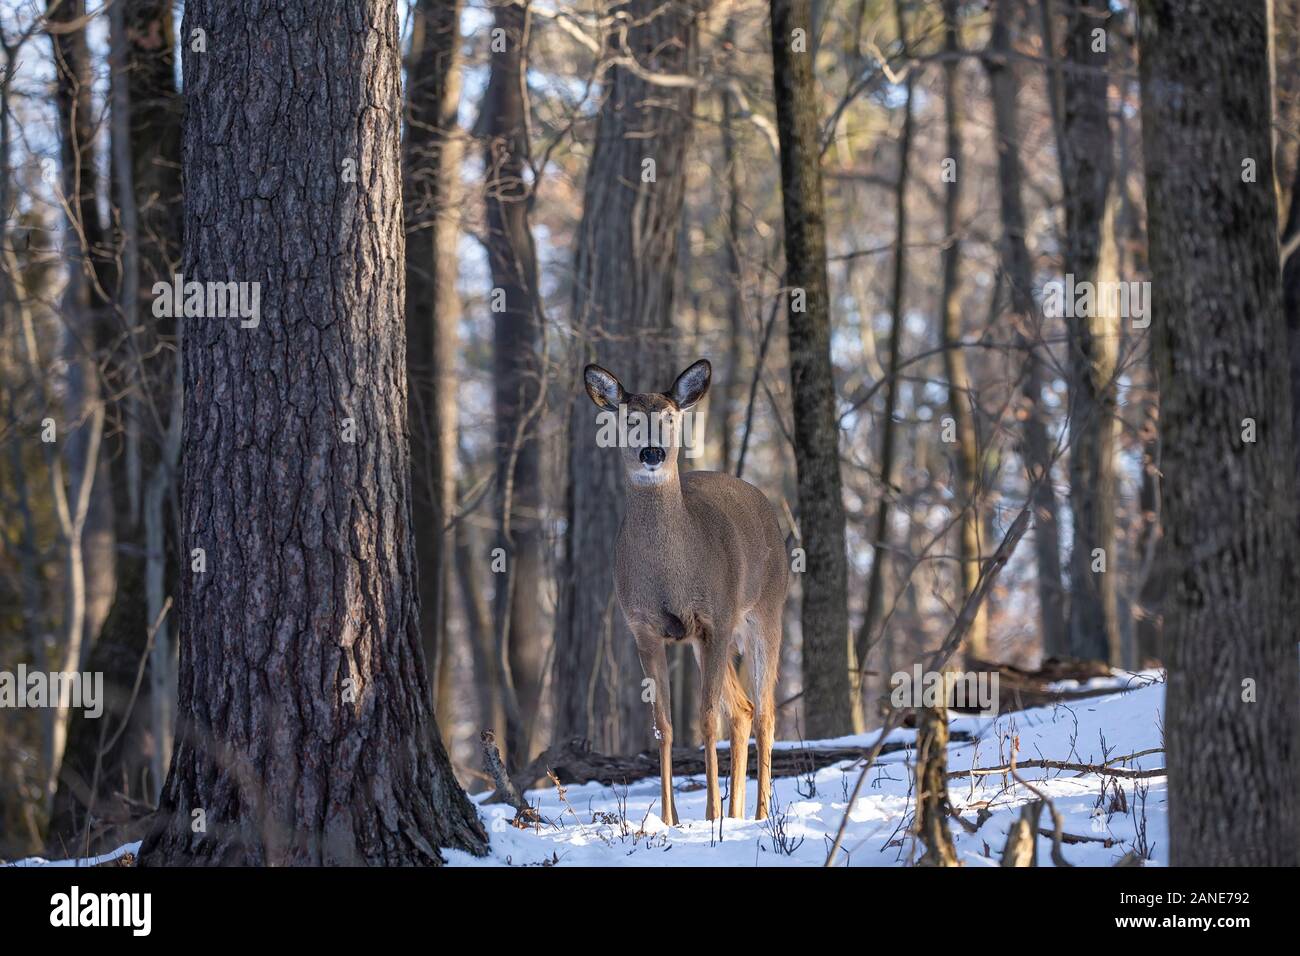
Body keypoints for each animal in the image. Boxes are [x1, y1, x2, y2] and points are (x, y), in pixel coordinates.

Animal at [583, 359, 789, 824]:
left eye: (671, 417)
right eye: (630, 418)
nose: (652, 453)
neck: (670, 574)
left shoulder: (716, 618)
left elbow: (707, 718)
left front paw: (710, 813)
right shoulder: (644, 629)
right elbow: (664, 725)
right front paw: (669, 819)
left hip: (765, 611)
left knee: (766, 712)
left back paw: (759, 815)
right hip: (707, 638)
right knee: (744, 709)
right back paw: (737, 812)